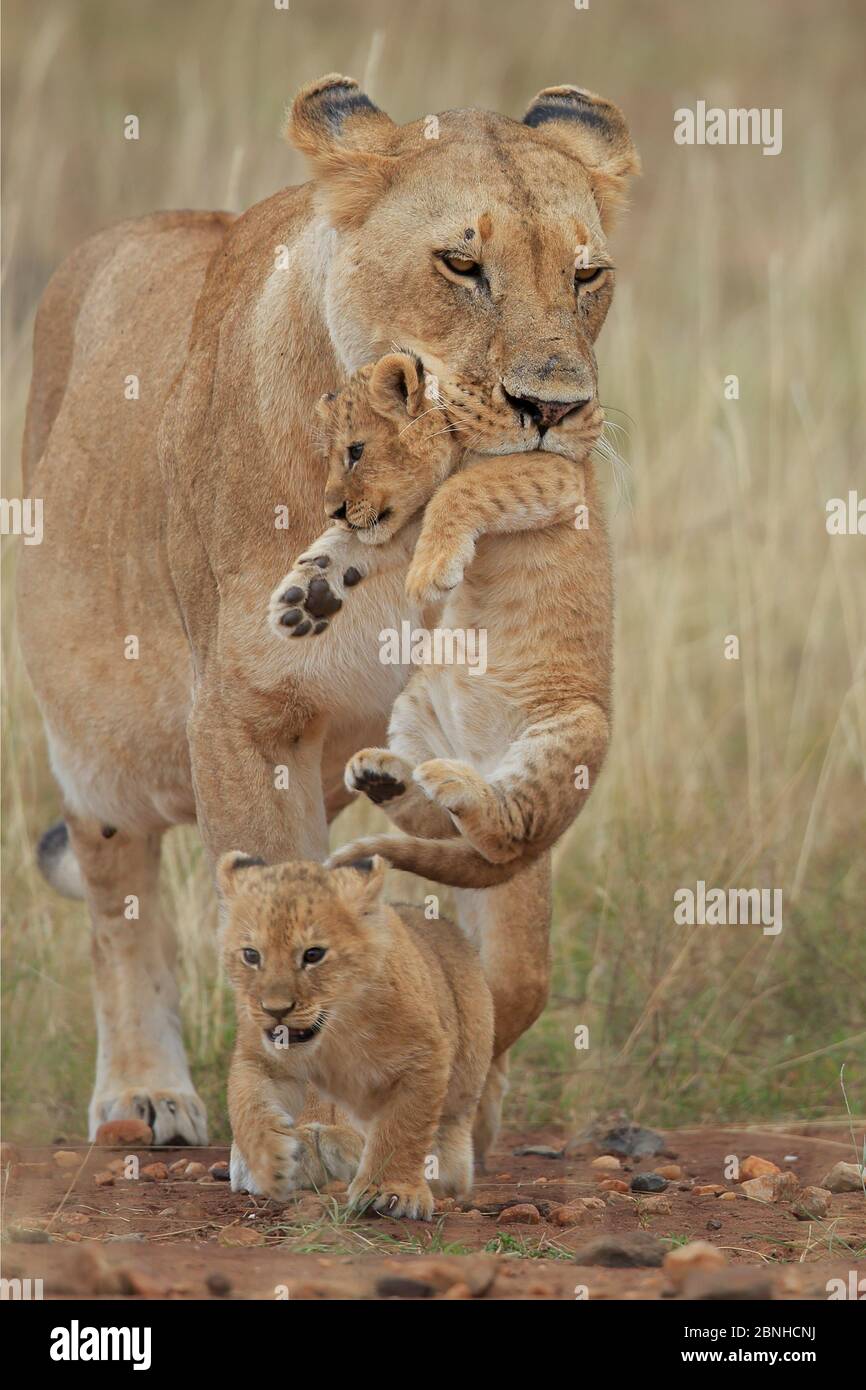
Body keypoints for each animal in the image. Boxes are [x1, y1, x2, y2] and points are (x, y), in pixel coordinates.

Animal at [17, 73, 638, 1143]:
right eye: (461, 263)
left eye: (586, 275)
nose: (554, 410)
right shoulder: (247, 719)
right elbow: (278, 912)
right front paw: (319, 1118)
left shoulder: (509, 711)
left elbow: (515, 966)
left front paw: (463, 1094)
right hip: (97, 747)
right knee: (117, 905)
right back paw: (145, 1092)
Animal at [218, 853, 494, 1217]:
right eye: (251, 955)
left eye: (313, 954)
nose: (275, 1009)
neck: (334, 1031)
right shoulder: (262, 1058)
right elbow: (246, 1104)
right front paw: (268, 1161)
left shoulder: (425, 1056)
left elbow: (404, 1126)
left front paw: (392, 1191)